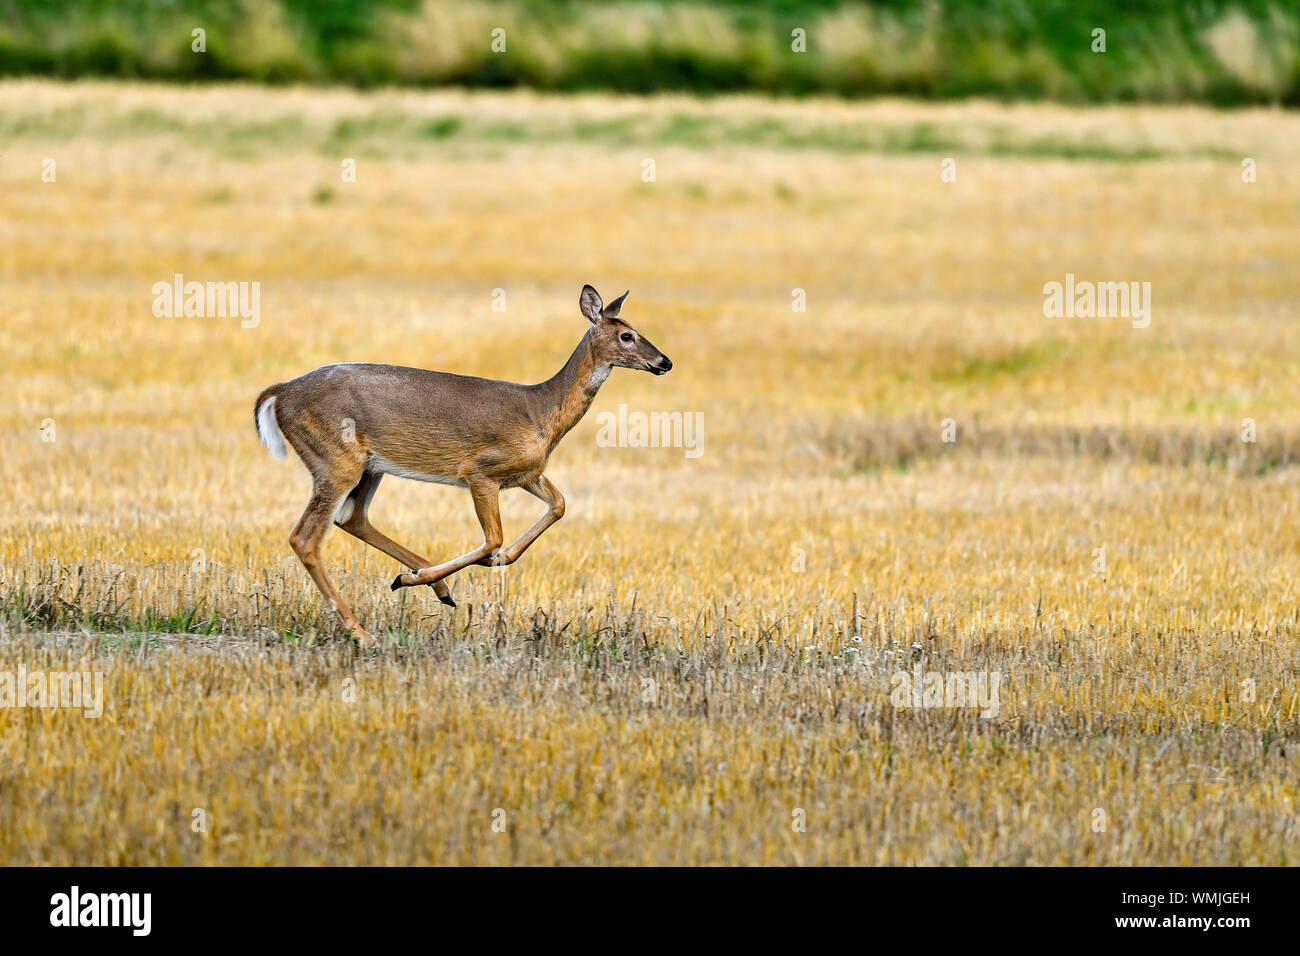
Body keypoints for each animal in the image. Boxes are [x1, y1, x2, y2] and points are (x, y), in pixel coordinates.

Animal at [253, 284, 672, 646]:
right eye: (627, 336)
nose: (664, 361)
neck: (542, 411)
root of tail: (279, 393)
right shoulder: (479, 470)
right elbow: (494, 537)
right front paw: (480, 561)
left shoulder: (526, 473)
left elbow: (558, 505)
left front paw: (482, 564)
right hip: (335, 460)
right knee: (306, 537)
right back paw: (365, 631)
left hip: (369, 467)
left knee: (351, 518)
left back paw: (428, 584)